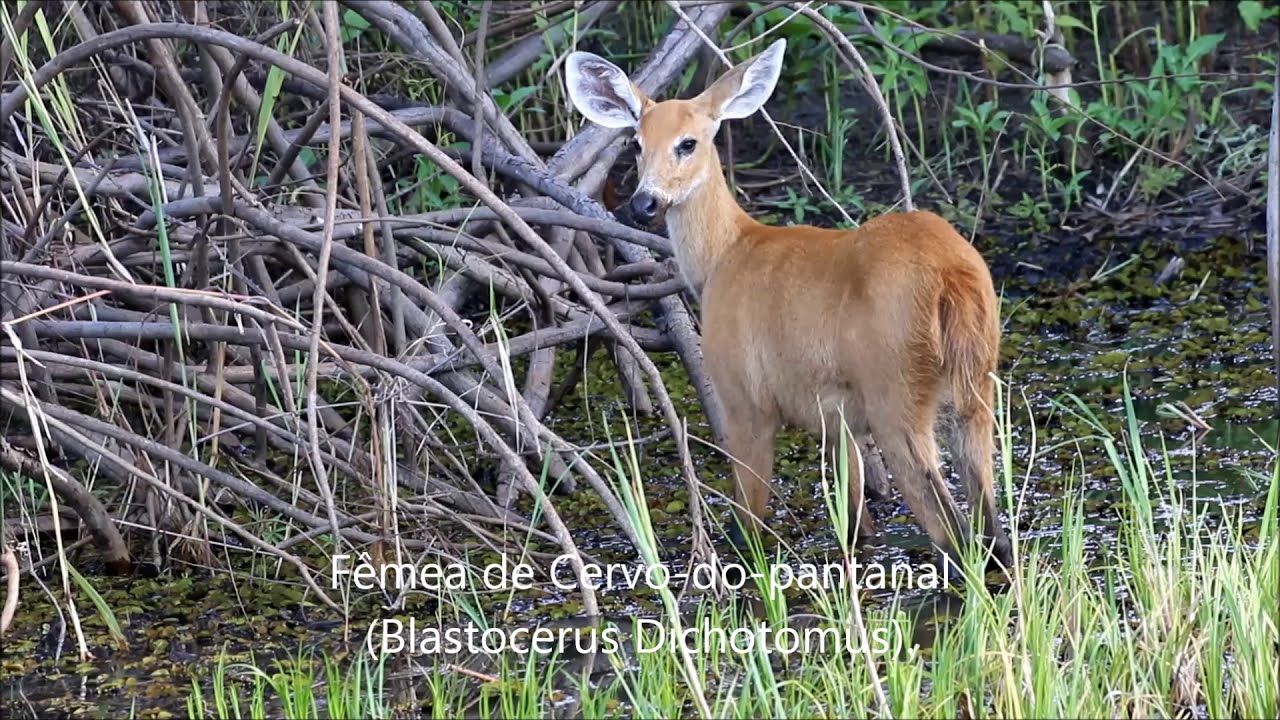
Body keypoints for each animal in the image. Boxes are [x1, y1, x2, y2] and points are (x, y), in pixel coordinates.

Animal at [565, 39, 1013, 571]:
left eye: (688, 142)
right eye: (635, 143)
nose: (643, 204)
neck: (724, 257)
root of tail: (952, 278)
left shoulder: (745, 396)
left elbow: (749, 523)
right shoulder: (838, 418)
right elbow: (854, 519)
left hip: (895, 389)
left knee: (954, 533)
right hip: (977, 385)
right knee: (995, 528)